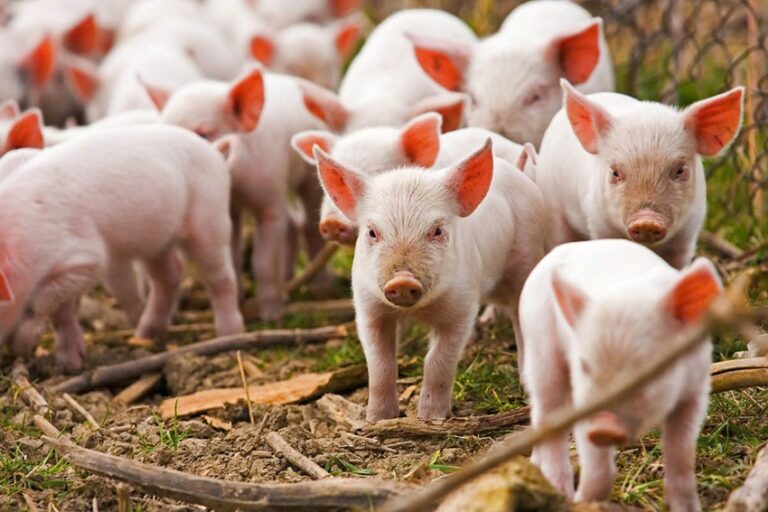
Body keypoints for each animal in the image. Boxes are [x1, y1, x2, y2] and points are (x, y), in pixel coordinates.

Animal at [0, 124, 244, 373]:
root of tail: (213, 150)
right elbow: (62, 312)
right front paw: (72, 364)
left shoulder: (85, 258)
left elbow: (42, 302)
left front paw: (24, 345)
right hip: (156, 241)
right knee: (169, 275)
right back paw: (144, 335)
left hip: (211, 219)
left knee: (221, 278)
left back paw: (230, 336)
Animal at [160, 67, 347, 320]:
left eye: (204, 133)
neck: (238, 187)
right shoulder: (230, 209)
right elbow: (234, 256)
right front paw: (241, 302)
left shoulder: (270, 198)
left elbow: (263, 260)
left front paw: (272, 316)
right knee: (291, 225)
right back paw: (287, 282)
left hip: (309, 178)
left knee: (308, 225)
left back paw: (320, 288)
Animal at [314, 139, 548, 420]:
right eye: (371, 232)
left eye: (437, 230)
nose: (403, 280)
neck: (418, 312)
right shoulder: (368, 307)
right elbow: (380, 363)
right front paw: (378, 418)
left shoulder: (462, 306)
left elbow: (438, 362)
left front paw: (431, 418)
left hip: (528, 254)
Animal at [519, 239, 720, 510]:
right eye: (585, 366)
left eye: (647, 367)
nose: (604, 425)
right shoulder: (585, 400)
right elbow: (597, 465)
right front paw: (583, 503)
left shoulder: (696, 389)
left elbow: (681, 453)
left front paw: (686, 507)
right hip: (539, 344)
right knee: (546, 415)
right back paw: (560, 493)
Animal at [535, 81, 744, 270]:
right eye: (615, 172)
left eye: (679, 170)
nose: (647, 220)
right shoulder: (597, 220)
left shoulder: (688, 233)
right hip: (553, 207)